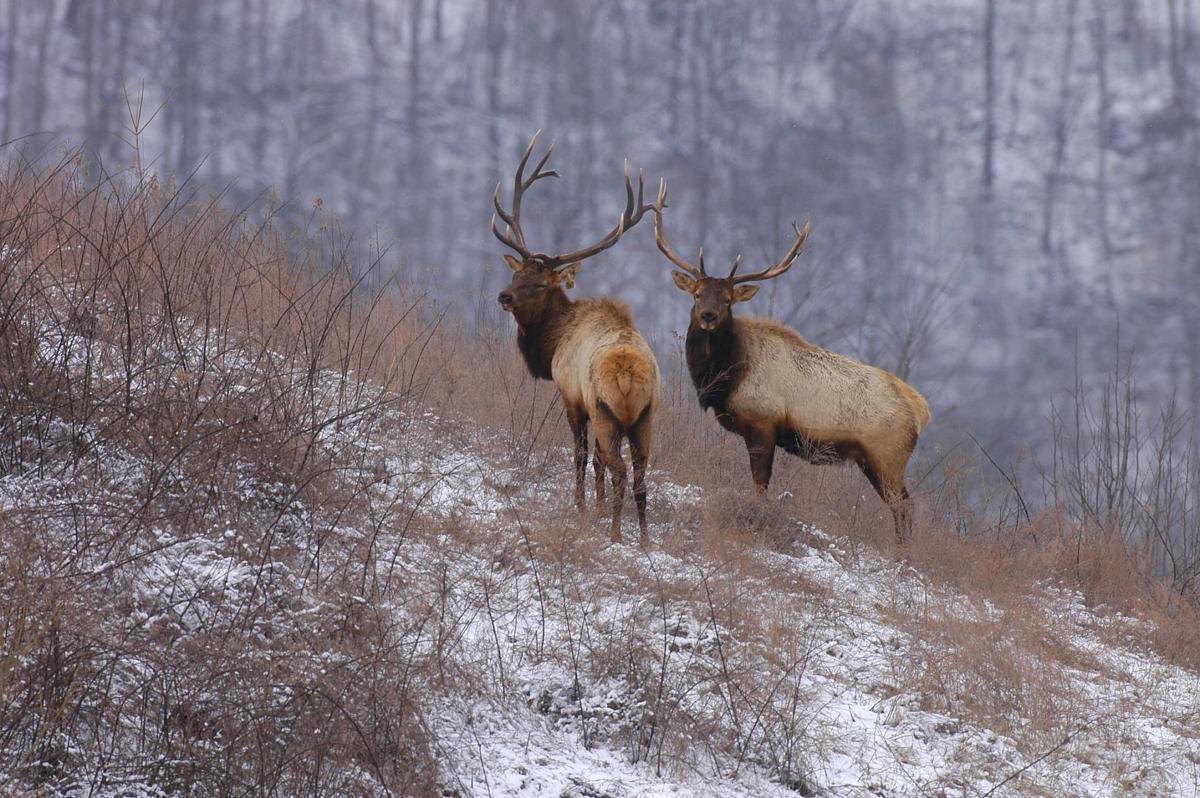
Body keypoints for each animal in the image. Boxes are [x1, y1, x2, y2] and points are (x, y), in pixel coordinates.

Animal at [492, 133, 661, 544]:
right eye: (516, 273)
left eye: (539, 284)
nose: (504, 296)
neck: (553, 342)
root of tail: (628, 376)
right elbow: (597, 461)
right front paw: (596, 509)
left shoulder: (572, 397)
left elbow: (581, 455)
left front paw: (583, 508)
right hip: (646, 417)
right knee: (640, 475)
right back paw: (643, 538)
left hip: (606, 411)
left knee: (618, 469)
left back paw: (616, 534)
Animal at [652, 181, 931, 542]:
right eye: (697, 294)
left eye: (727, 300)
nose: (709, 316)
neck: (728, 374)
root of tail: (921, 410)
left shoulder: (763, 423)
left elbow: (760, 484)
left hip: (887, 456)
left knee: (904, 507)